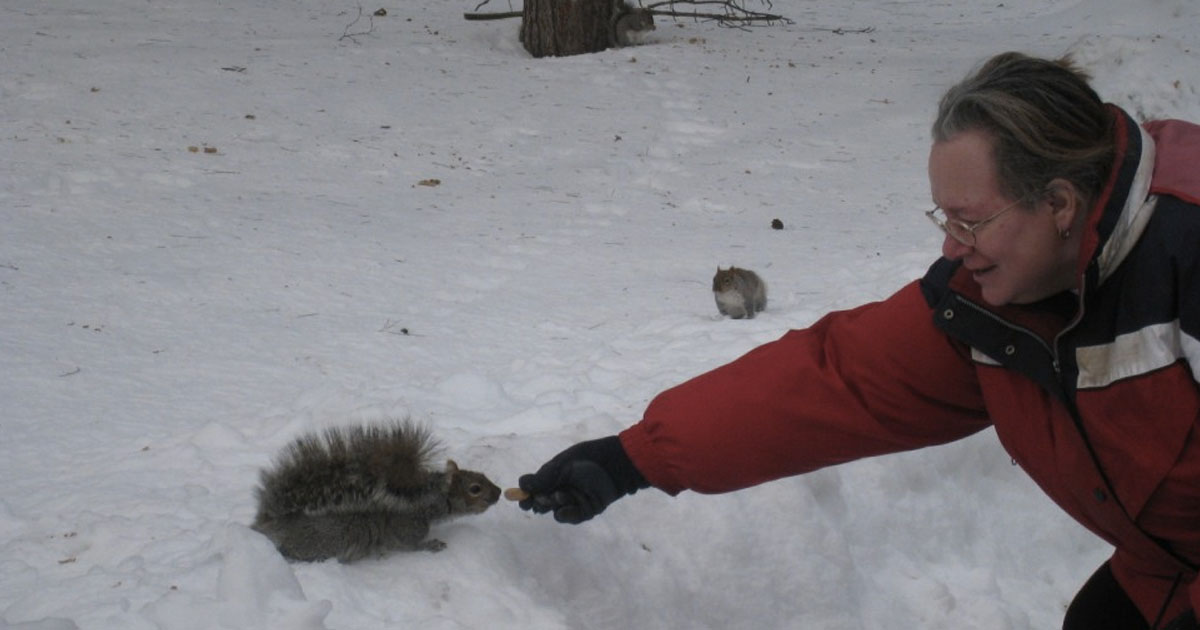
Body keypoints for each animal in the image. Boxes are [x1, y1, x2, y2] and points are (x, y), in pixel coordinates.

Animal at [251, 420, 501, 562]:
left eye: (483, 475)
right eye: (475, 488)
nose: (498, 492)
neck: (429, 498)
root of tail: (268, 522)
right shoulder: (406, 526)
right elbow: (409, 545)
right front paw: (430, 545)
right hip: (333, 536)